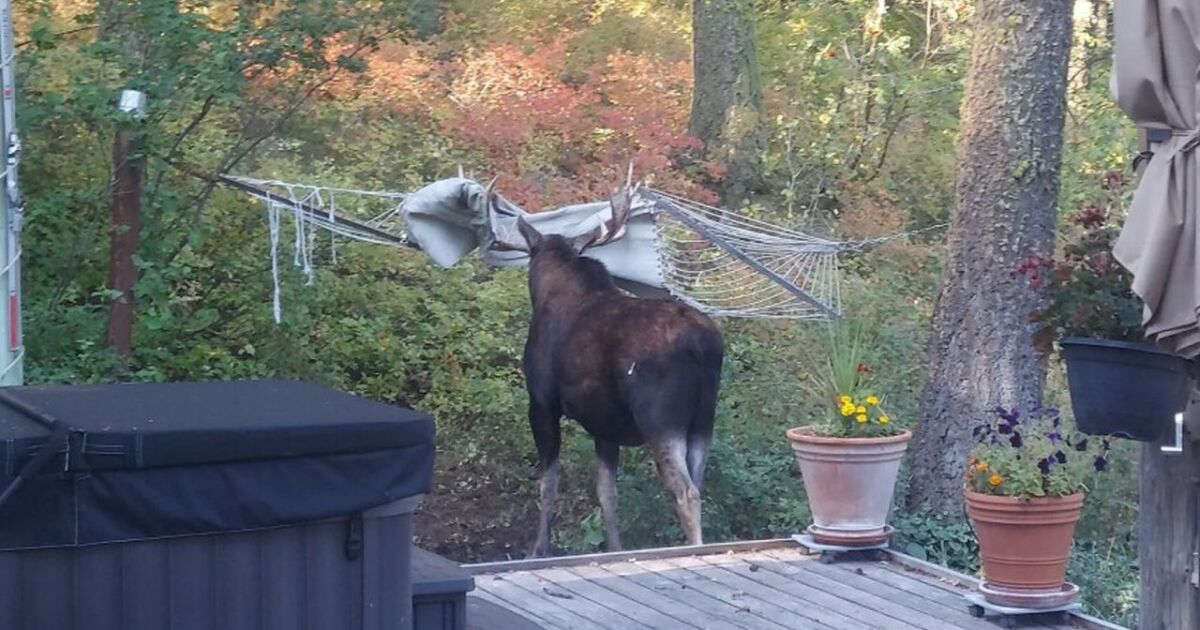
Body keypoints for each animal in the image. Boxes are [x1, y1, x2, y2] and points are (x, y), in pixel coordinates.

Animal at [488, 181, 725, 557]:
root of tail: (704, 346)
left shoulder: (541, 404)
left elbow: (548, 484)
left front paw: (538, 550)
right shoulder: (605, 425)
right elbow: (607, 494)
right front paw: (615, 547)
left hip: (661, 420)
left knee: (685, 492)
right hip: (703, 420)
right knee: (698, 483)